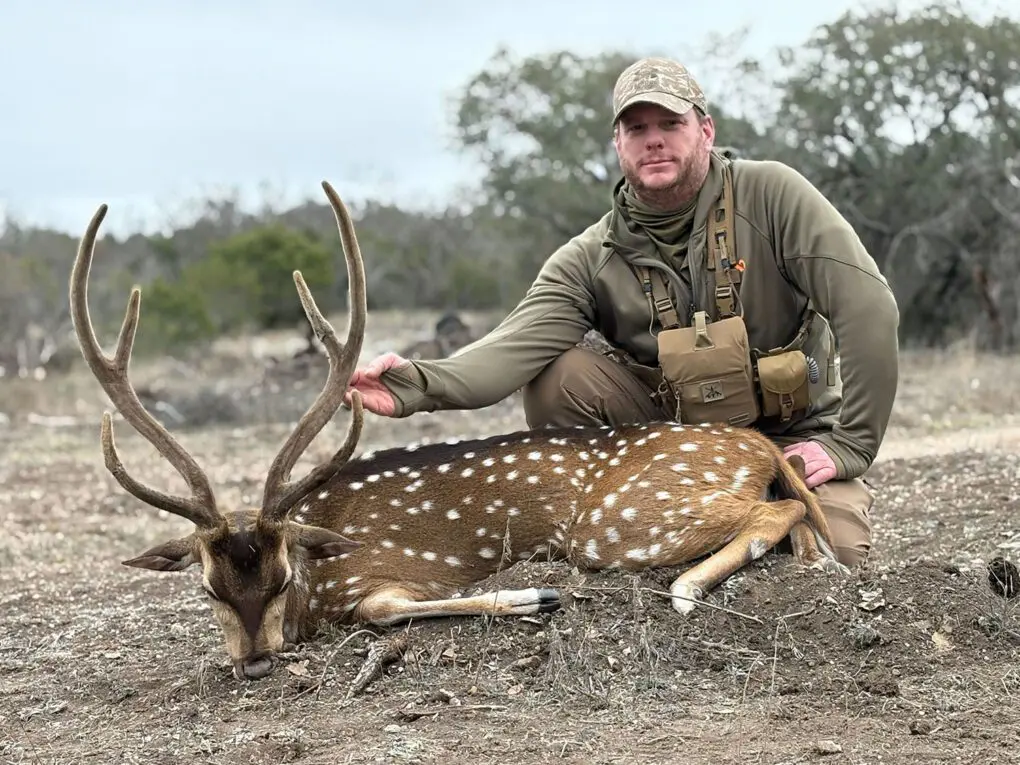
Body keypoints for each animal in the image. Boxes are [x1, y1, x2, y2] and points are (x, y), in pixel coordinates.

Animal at [70, 181, 849, 682]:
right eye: (206, 588)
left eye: (284, 572)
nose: (256, 664)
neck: (317, 582)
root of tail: (756, 443)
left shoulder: (376, 575)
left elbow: (385, 608)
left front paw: (536, 595)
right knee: (795, 514)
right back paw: (816, 559)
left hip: (618, 521)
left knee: (768, 513)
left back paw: (687, 587)